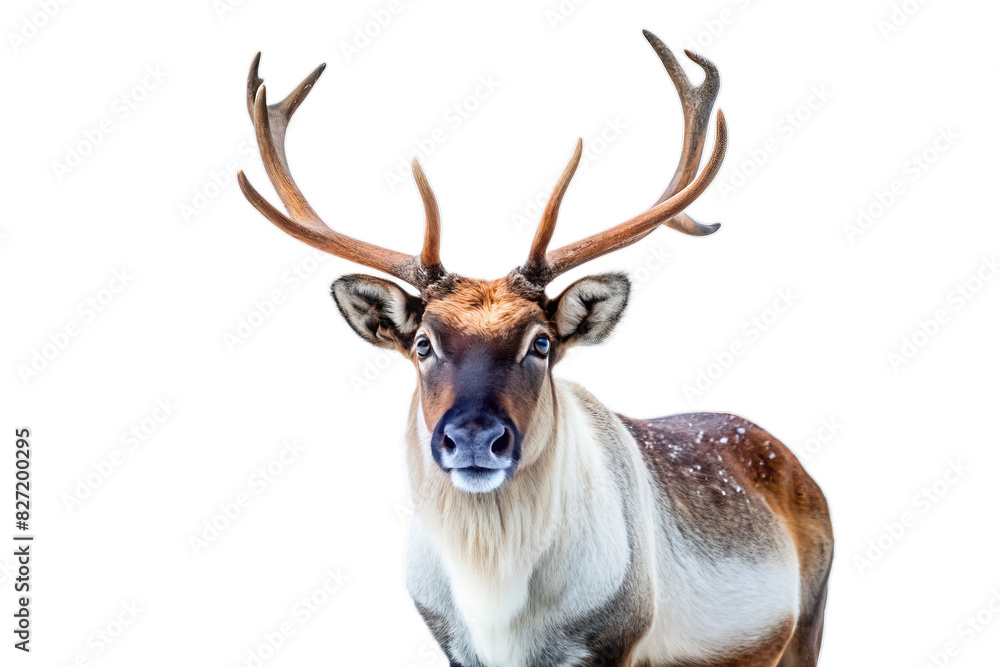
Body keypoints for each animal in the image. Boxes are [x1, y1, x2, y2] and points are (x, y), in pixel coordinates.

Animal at [236, 30, 833, 667]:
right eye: (422, 343)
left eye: (541, 342)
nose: (475, 437)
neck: (495, 606)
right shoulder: (451, 643)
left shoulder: (615, 640)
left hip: (806, 626)